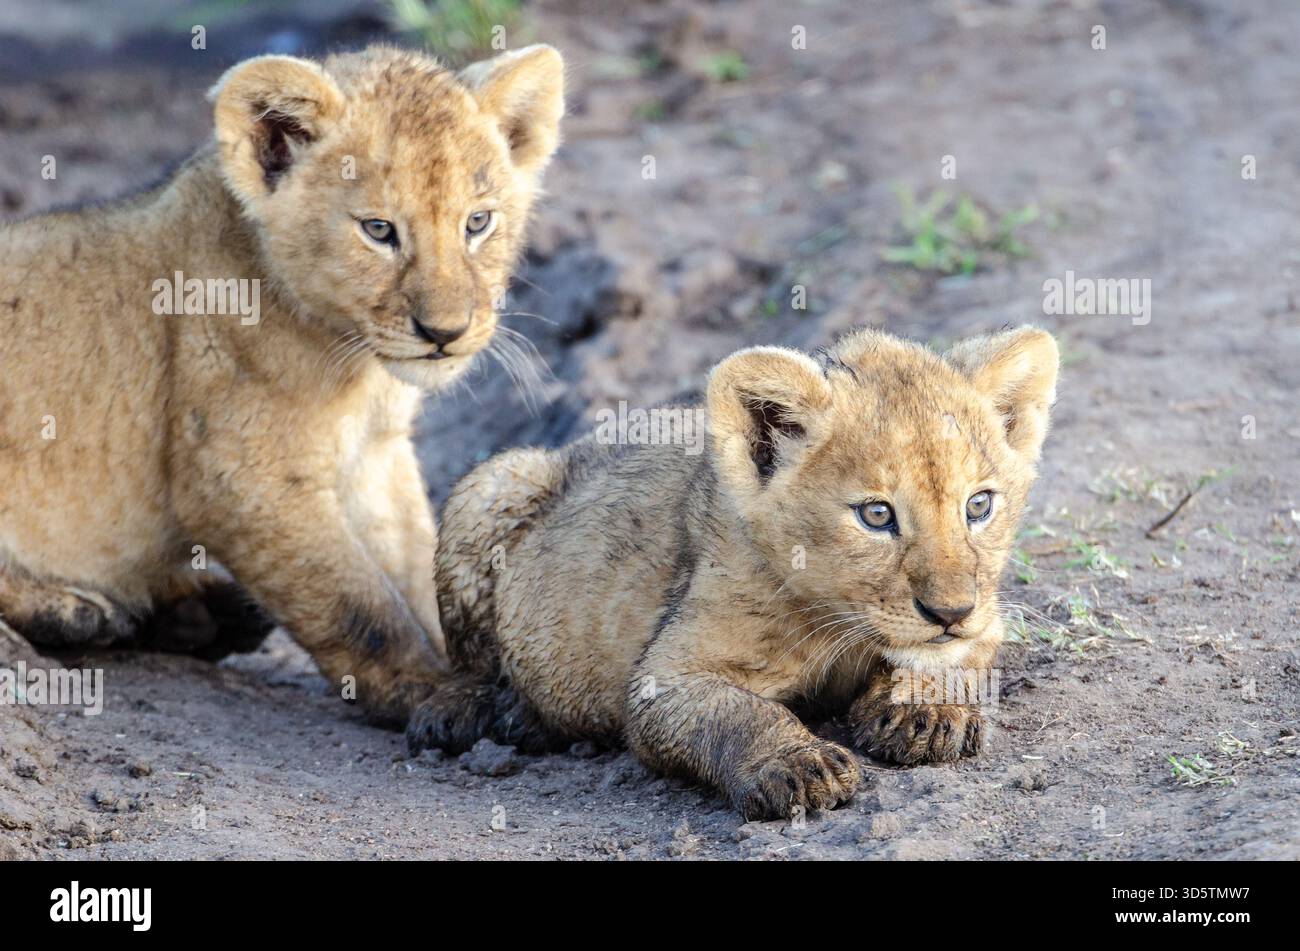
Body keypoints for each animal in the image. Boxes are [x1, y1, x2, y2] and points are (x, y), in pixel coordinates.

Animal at [0, 44, 564, 723]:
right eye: (379, 230)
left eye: (477, 222)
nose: (445, 332)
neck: (358, 367)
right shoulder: (242, 476)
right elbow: (356, 602)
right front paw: (427, 690)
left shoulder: (375, 455)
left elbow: (412, 557)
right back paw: (82, 612)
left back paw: (203, 616)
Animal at [409, 326, 1059, 818]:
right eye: (877, 515)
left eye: (979, 505)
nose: (950, 611)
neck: (837, 619)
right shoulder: (665, 674)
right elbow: (738, 712)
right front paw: (798, 766)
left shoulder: (988, 612)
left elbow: (960, 654)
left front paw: (926, 712)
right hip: (493, 484)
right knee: (467, 660)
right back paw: (474, 713)